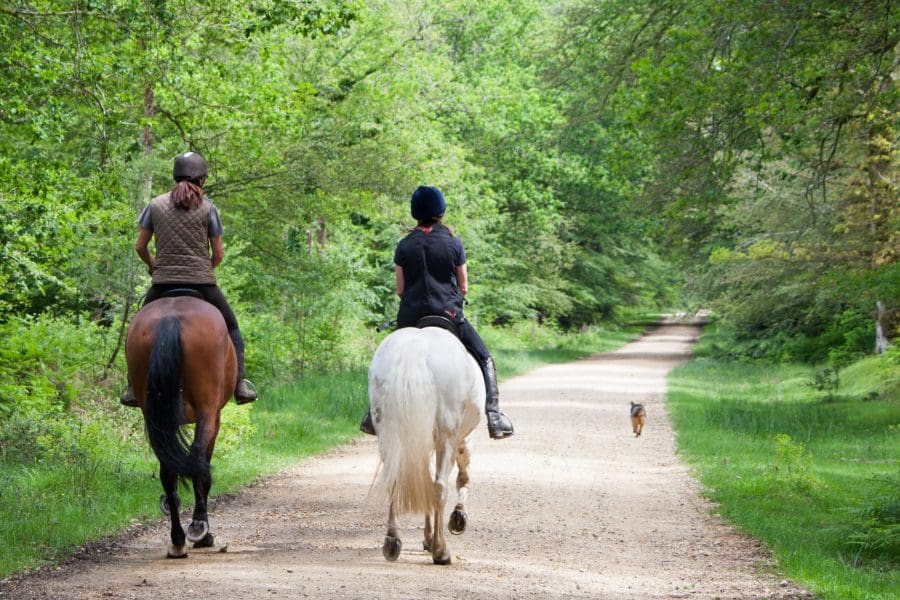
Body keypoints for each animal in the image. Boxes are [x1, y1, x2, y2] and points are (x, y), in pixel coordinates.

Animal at [125, 295, 237, 558]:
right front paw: (203, 532)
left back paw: (177, 539)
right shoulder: (215, 416)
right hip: (207, 408)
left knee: (167, 470)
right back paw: (198, 529)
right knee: (197, 460)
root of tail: (171, 318)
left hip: (153, 412)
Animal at [367, 325, 485, 565]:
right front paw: (458, 517)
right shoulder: (461, 440)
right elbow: (462, 477)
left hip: (389, 434)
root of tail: (416, 347)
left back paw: (392, 542)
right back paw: (441, 551)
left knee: (397, 479)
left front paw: (428, 536)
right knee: (439, 487)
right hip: (447, 435)